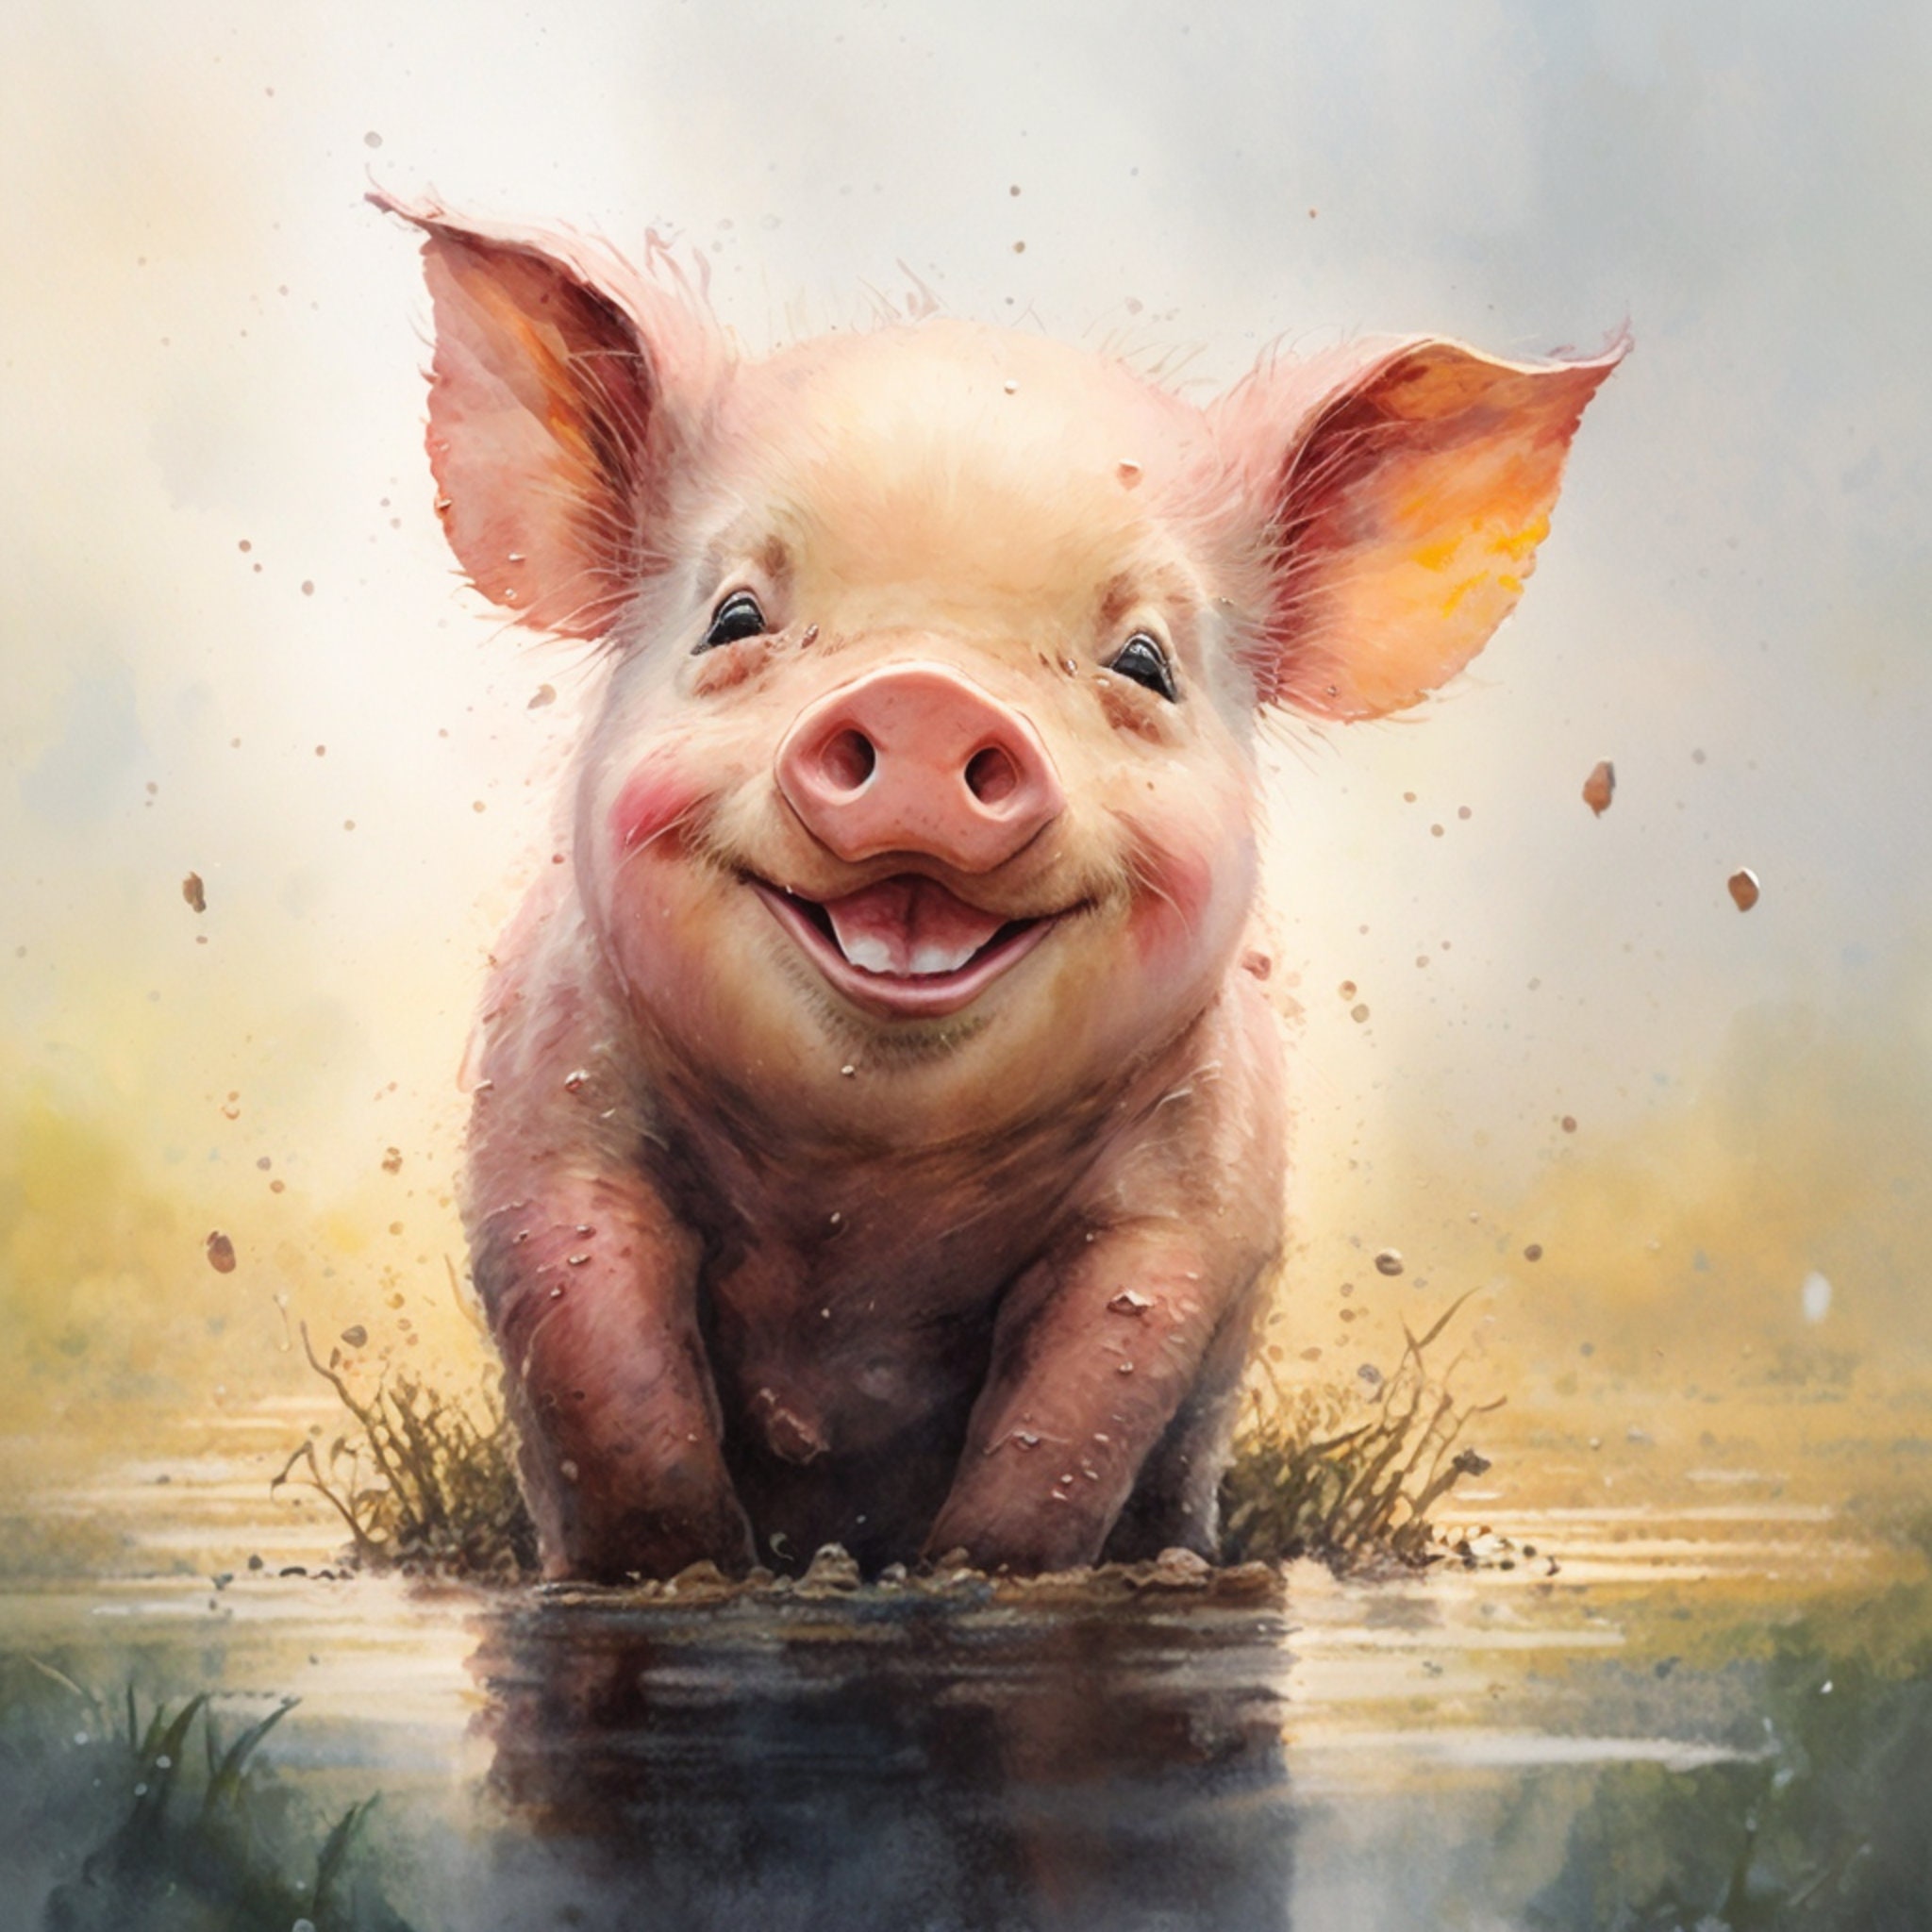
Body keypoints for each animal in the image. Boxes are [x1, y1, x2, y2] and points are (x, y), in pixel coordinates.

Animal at [374, 191, 1622, 1583]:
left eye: (1144, 660)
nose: (924, 697)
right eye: (736, 617)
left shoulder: (1183, 1212)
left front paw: (977, 1572)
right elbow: (609, 1371)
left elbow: (1073, 1414)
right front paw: (687, 1570)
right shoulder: (547, 1126)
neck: (864, 1211)